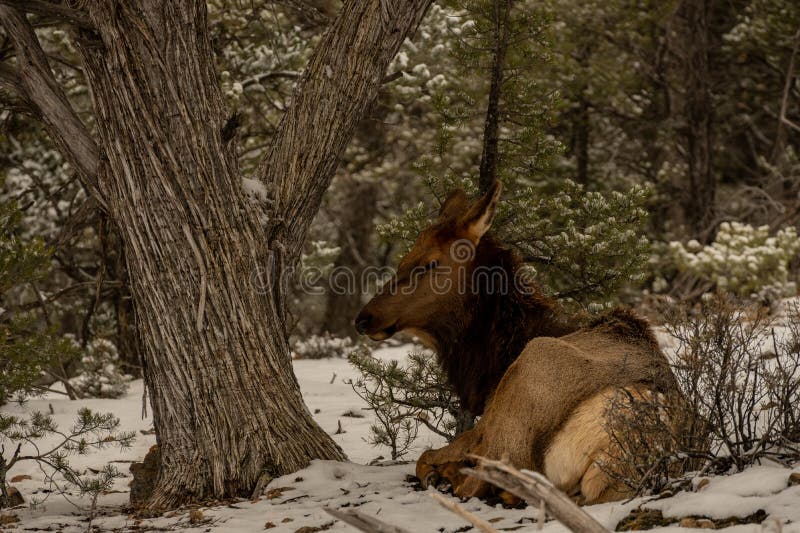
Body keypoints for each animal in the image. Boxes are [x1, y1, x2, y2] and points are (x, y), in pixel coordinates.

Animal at [354, 182, 677, 504]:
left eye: (429, 262)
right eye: (403, 258)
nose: (363, 318)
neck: (493, 358)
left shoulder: (487, 416)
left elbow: (428, 457)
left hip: (525, 385)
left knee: (483, 480)